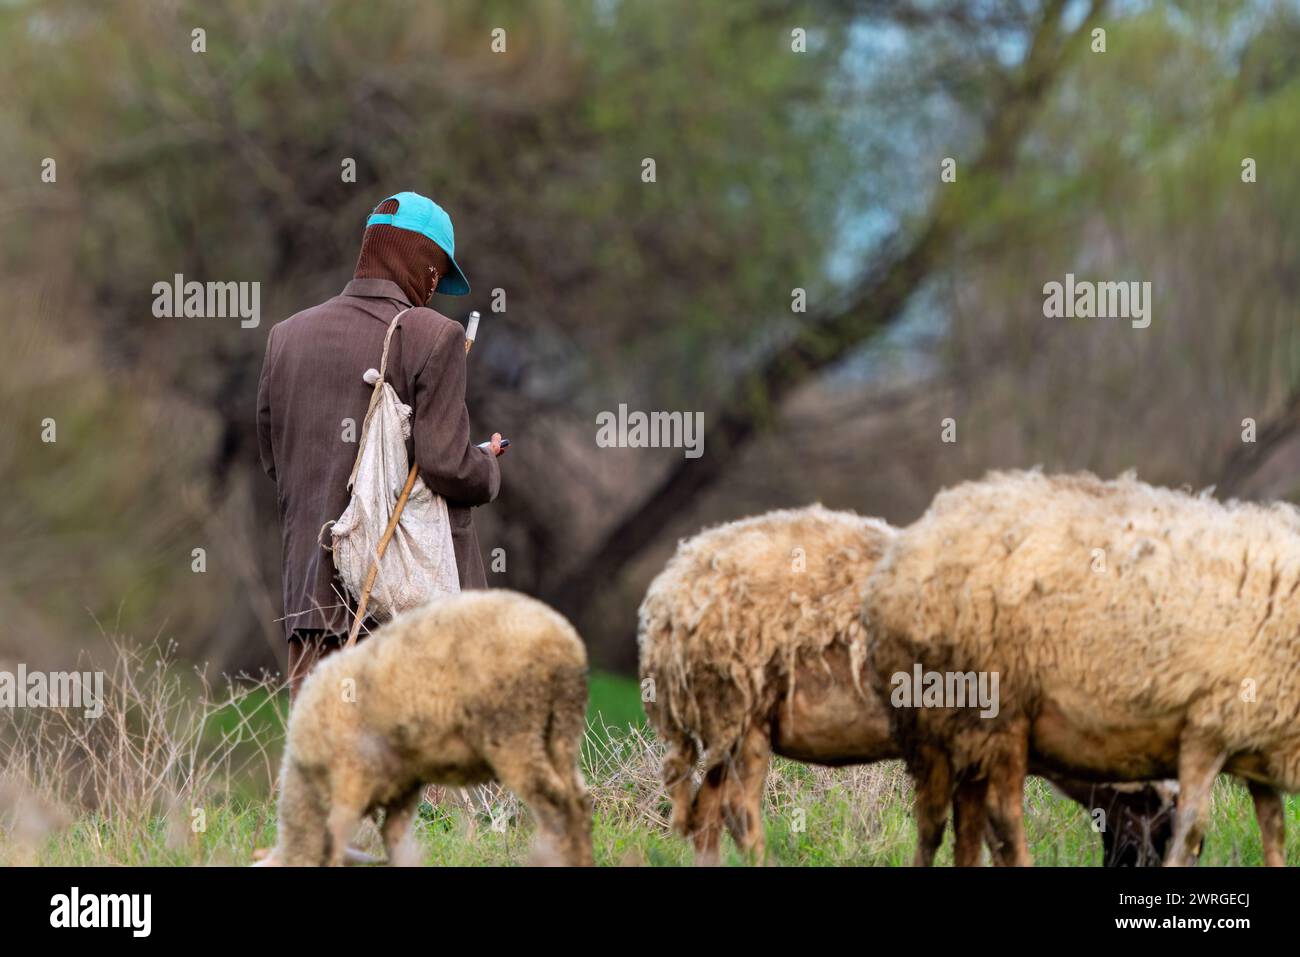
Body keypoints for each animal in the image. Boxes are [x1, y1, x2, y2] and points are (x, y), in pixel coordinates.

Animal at [266, 589, 593, 866]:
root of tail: (563, 642)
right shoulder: (402, 785)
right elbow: (394, 838)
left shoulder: (351, 777)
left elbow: (338, 840)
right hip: (559, 733)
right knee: (577, 802)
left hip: (515, 733)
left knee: (555, 805)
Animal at [639, 504, 1177, 866]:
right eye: (1156, 808)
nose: (1139, 862)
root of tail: (668, 591)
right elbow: (1000, 834)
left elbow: (967, 836)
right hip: (741, 707)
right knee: (736, 809)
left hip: (724, 721)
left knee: (706, 815)